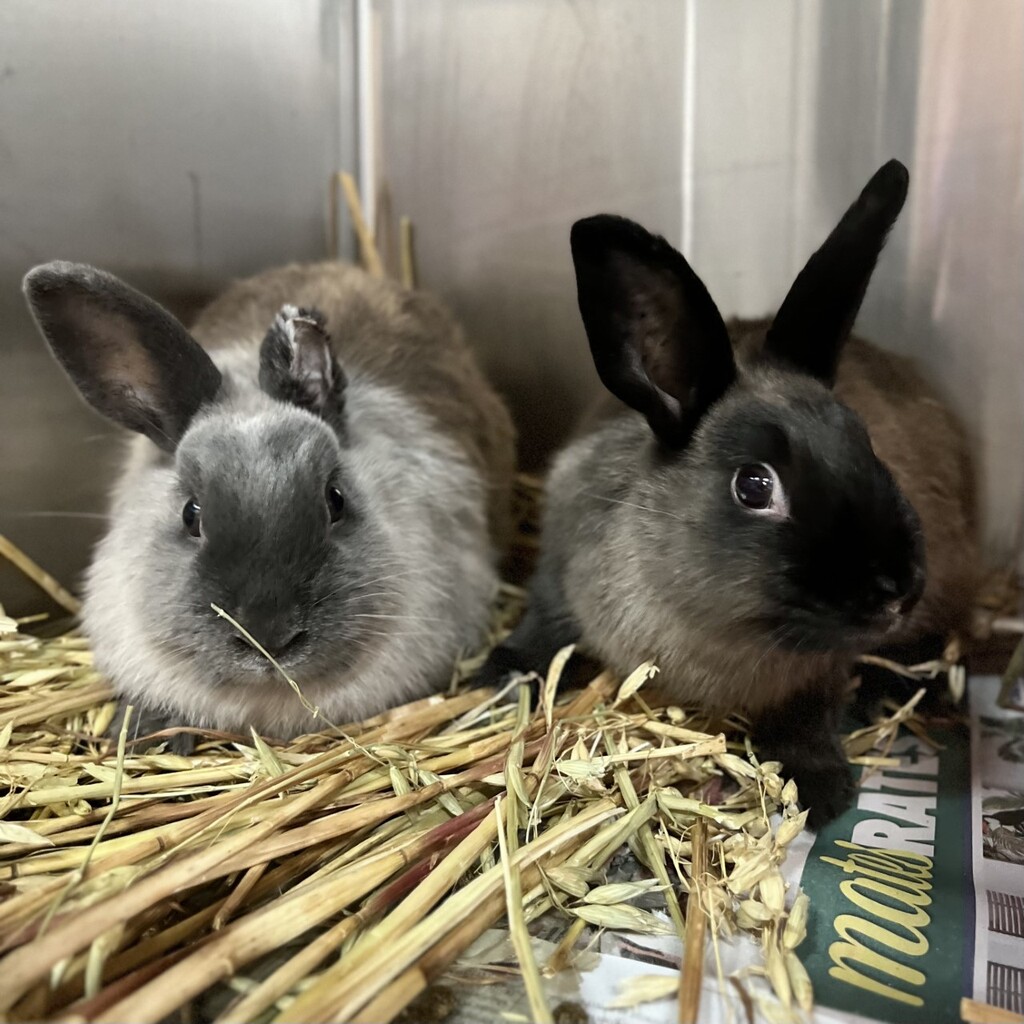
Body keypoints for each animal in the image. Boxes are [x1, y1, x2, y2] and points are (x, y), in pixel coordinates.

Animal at [481, 160, 977, 828]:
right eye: (754, 485)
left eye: (865, 443)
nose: (898, 590)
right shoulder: (558, 578)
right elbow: (542, 629)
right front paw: (500, 672)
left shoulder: (816, 675)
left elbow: (803, 721)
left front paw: (822, 790)